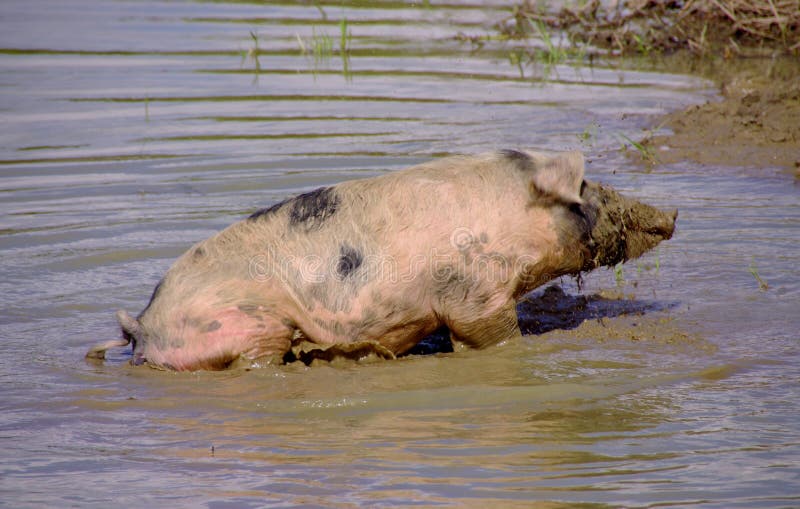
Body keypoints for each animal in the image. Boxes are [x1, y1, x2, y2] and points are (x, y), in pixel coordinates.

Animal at [86, 149, 676, 371]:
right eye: (585, 191)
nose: (670, 214)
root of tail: (140, 326)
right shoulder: (474, 296)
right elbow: (491, 338)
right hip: (248, 324)